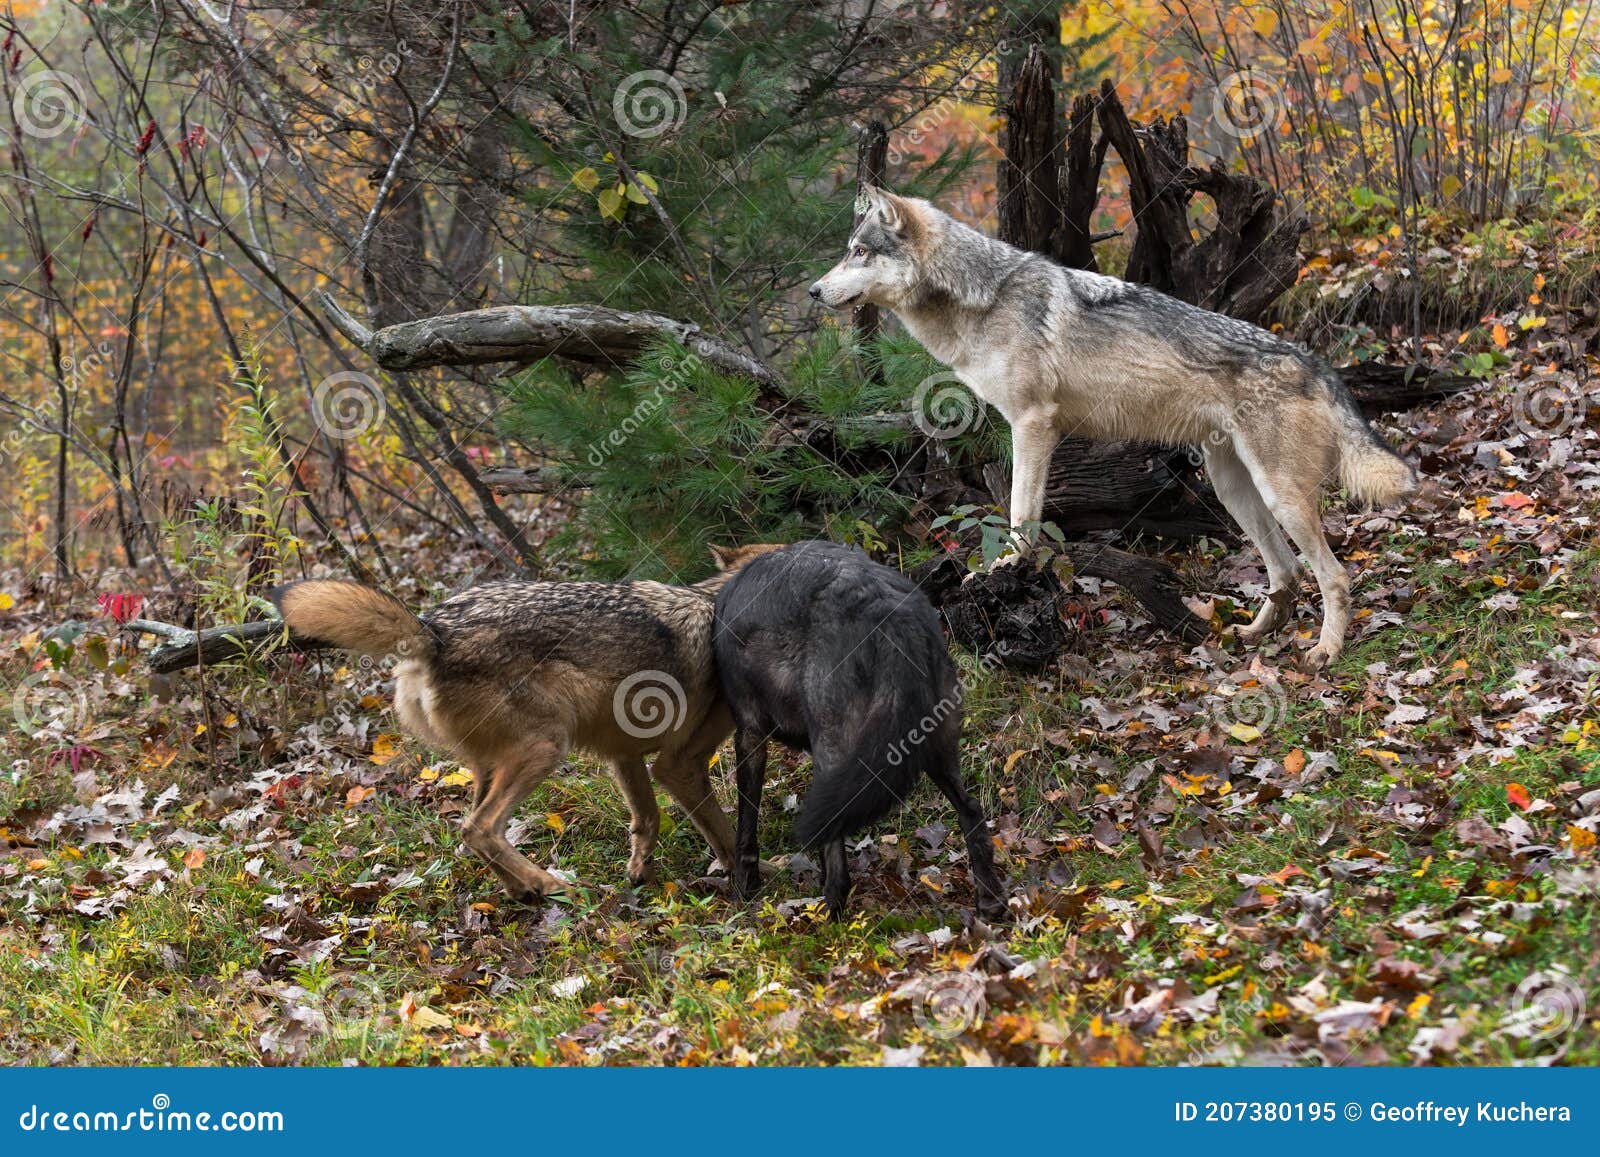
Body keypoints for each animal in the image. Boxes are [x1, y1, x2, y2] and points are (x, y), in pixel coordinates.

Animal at [268, 546, 774, 902]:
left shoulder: (624, 756)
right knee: (480, 829)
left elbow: (645, 819)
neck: (715, 602)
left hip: (493, 766)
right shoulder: (679, 764)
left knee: (468, 834)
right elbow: (724, 831)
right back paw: (551, 885)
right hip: (546, 748)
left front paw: (640, 872)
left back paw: (520, 889)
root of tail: (434, 630)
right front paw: (754, 876)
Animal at [712, 540, 1008, 920]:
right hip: (931, 748)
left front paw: (742, 891)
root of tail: (887, 611)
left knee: (837, 853)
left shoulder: (750, 735)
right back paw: (990, 900)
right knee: (970, 809)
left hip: (835, 750)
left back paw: (828, 913)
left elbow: (746, 826)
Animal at [809, 188, 1418, 668]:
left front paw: (1009, 564)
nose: (814, 291)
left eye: (859, 253)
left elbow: (1021, 512)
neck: (981, 297)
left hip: (1280, 494)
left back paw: (1326, 651)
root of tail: (1313, 360)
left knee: (1333, 576)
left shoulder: (1032, 424)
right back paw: (1251, 634)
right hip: (1234, 489)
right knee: (1287, 572)